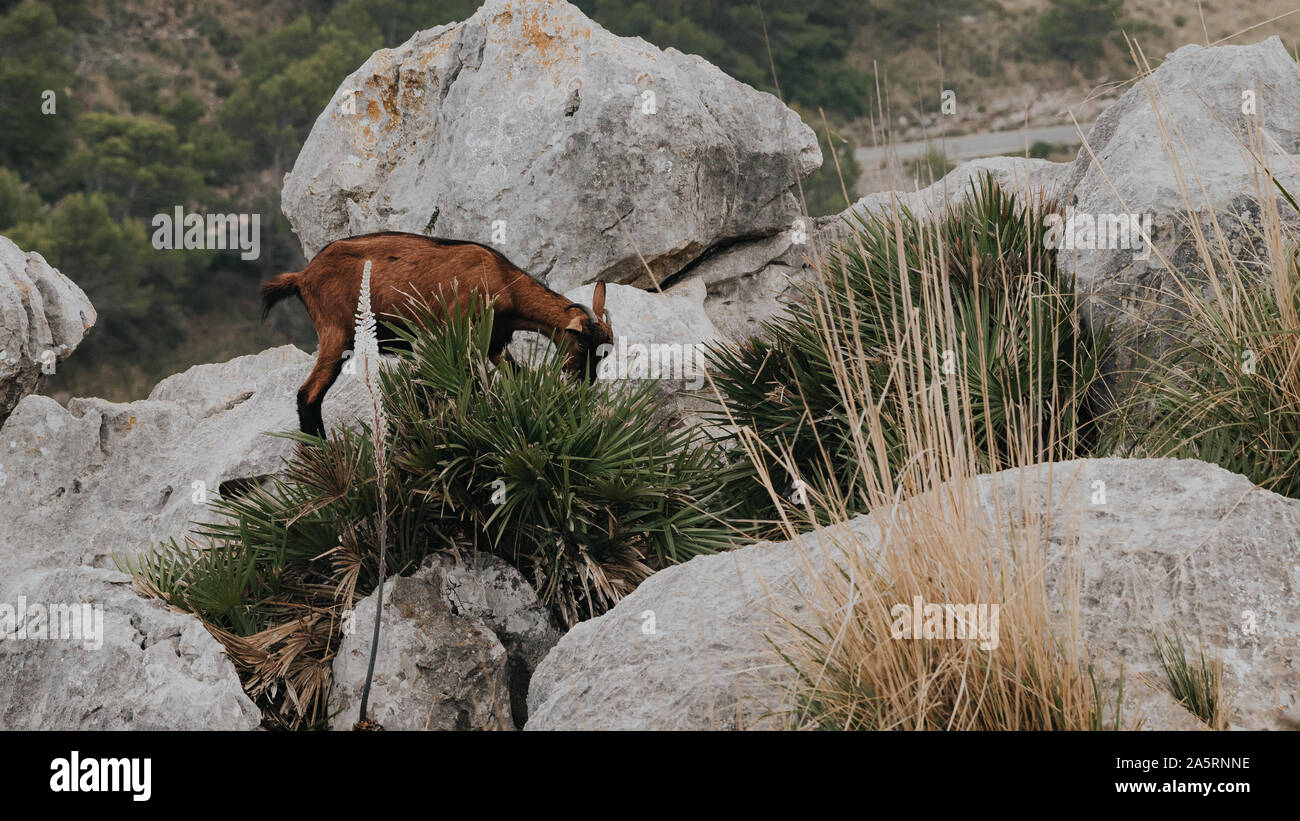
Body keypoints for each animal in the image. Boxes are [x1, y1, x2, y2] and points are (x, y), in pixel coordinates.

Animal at [259, 231, 613, 439]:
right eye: (583, 343)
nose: (585, 381)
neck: (503, 282)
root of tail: (303, 276)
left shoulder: (494, 344)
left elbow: (516, 377)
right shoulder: (459, 333)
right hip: (337, 332)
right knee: (308, 394)